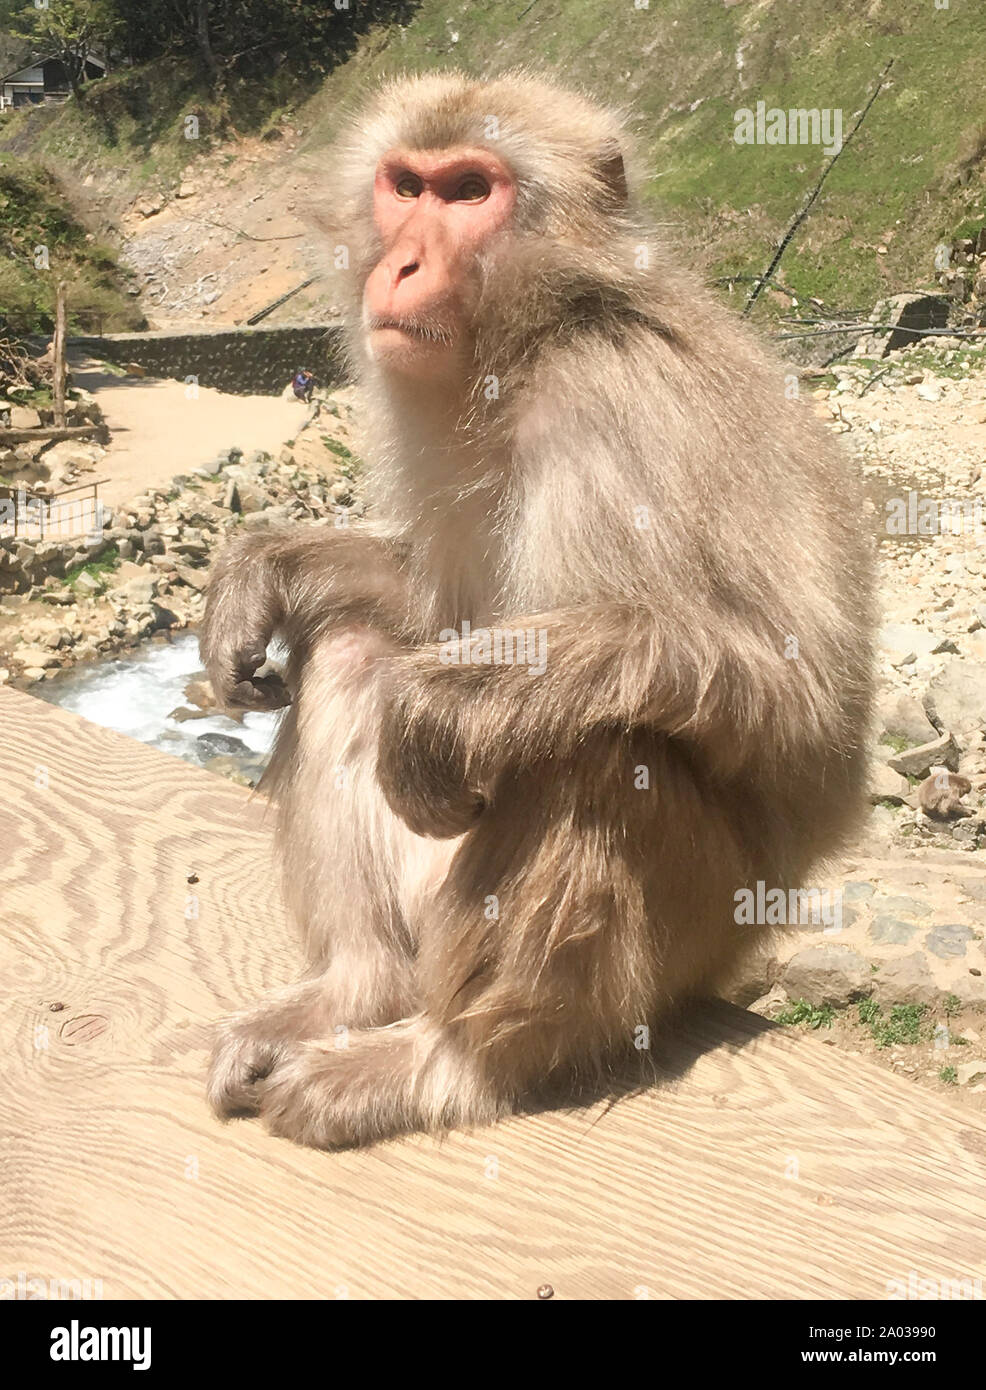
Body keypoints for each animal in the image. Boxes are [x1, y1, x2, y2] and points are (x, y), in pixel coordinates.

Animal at [200, 72, 874, 1150]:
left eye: (470, 192)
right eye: (407, 185)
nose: (401, 260)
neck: (532, 343)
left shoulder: (619, 398)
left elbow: (794, 692)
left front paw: (436, 712)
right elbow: (437, 606)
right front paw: (261, 568)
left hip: (693, 936)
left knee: (592, 744)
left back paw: (450, 1063)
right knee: (352, 650)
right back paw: (356, 990)